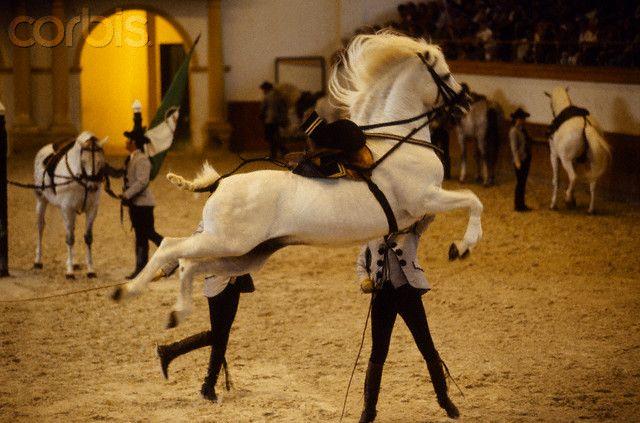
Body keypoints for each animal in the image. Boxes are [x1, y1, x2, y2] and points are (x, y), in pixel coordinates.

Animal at [33, 131, 108, 278]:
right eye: (83, 161)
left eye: (100, 161)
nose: (93, 187)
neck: (82, 180)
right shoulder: (67, 209)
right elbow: (69, 239)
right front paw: (69, 272)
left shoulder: (91, 209)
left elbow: (87, 238)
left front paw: (90, 270)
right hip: (41, 201)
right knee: (40, 227)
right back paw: (38, 261)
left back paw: (74, 262)